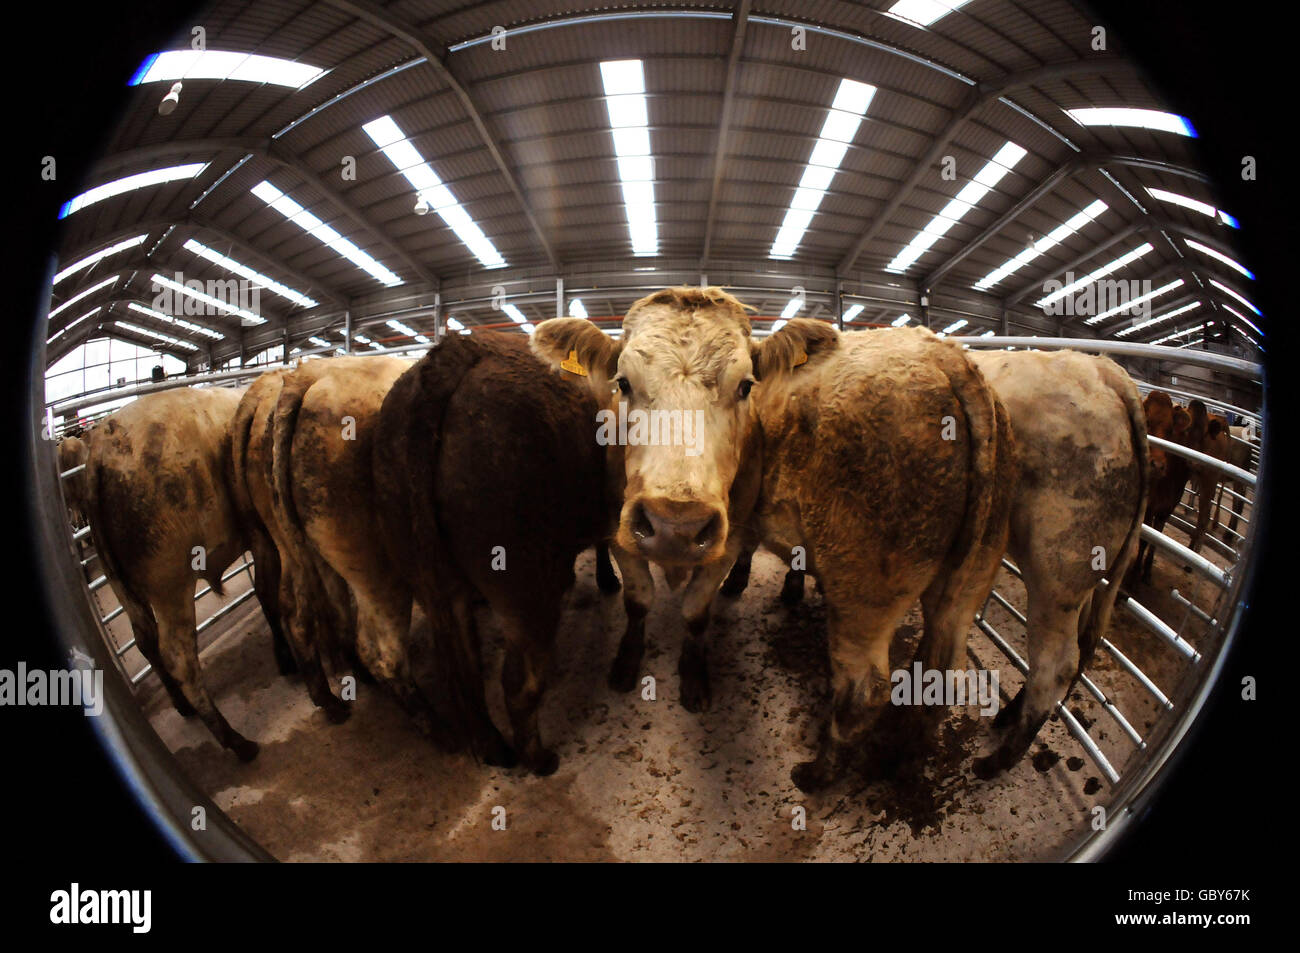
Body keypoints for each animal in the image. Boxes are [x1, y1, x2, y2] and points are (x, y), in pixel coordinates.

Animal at [58, 387, 286, 761]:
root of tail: (104, 447)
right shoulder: (264, 535)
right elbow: (269, 592)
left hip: (123, 586)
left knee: (145, 641)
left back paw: (183, 705)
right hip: (171, 586)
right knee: (179, 658)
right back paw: (236, 741)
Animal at [532, 287, 1014, 791]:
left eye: (746, 386)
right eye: (623, 383)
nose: (676, 525)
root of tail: (945, 355)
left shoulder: (728, 534)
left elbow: (696, 609)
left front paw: (695, 674)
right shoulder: (621, 528)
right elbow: (640, 599)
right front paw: (628, 661)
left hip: (866, 591)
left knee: (865, 689)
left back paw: (818, 773)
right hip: (966, 586)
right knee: (943, 676)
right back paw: (903, 761)